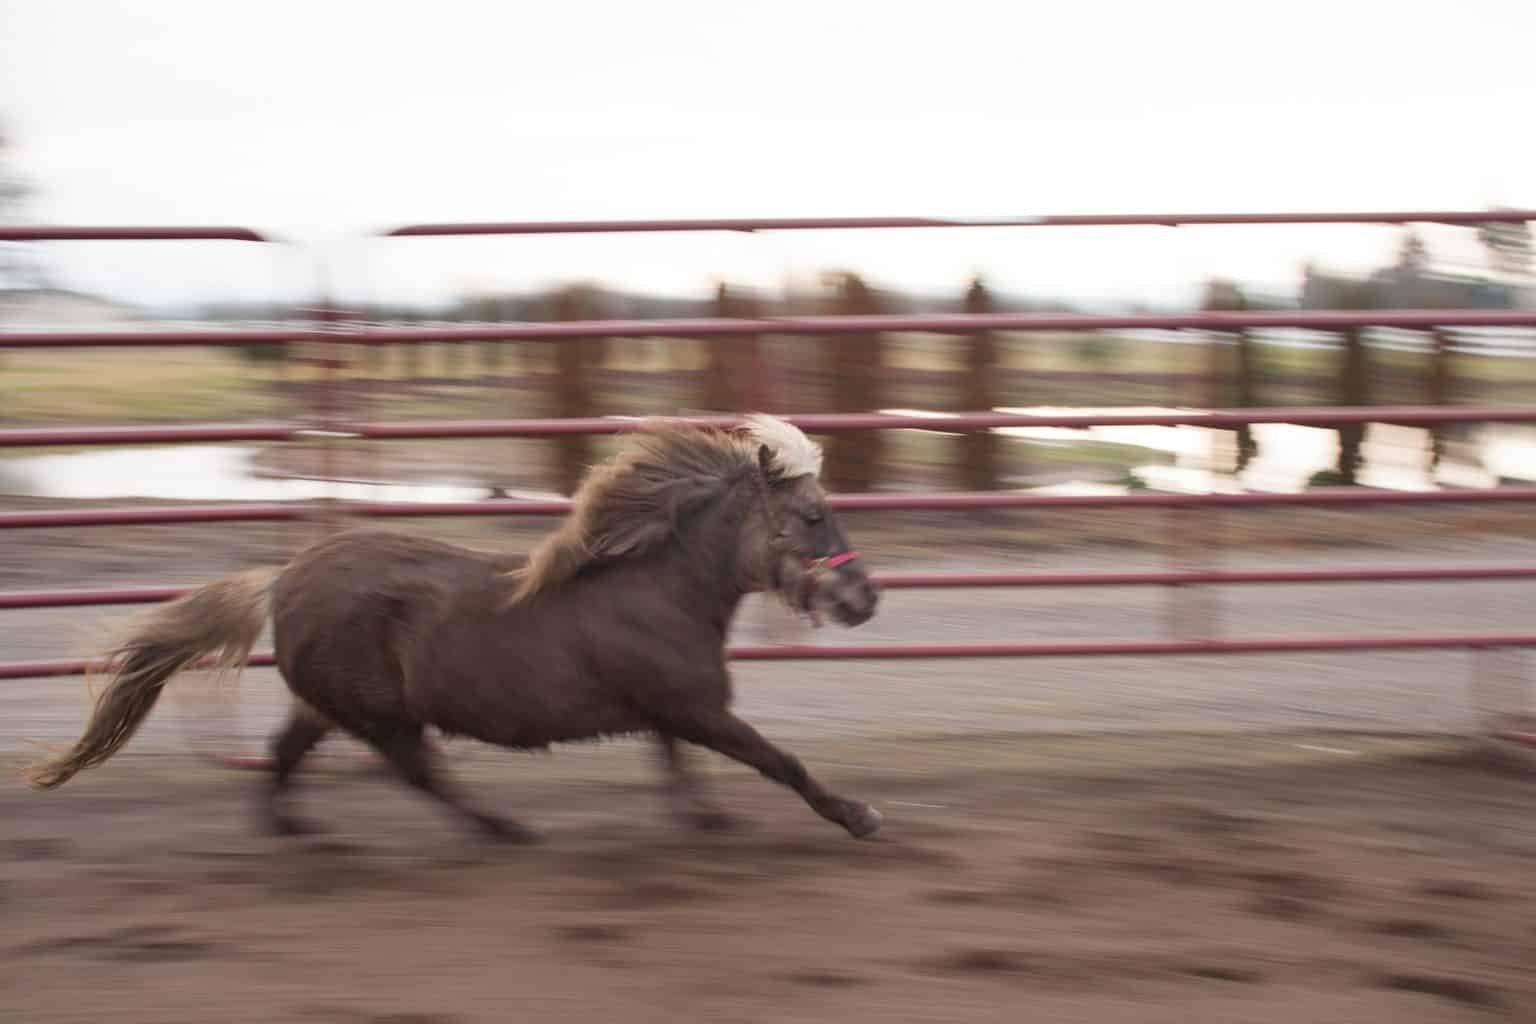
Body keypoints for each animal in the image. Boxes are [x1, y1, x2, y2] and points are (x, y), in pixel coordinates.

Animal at [28, 415, 885, 841]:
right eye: (813, 515)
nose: (865, 599)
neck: (655, 589)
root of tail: (284, 579)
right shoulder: (698, 709)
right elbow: (780, 762)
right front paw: (859, 817)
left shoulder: (671, 712)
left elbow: (679, 767)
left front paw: (707, 819)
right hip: (378, 714)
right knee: (418, 772)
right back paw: (505, 827)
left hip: (332, 705)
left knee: (287, 754)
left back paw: (291, 829)